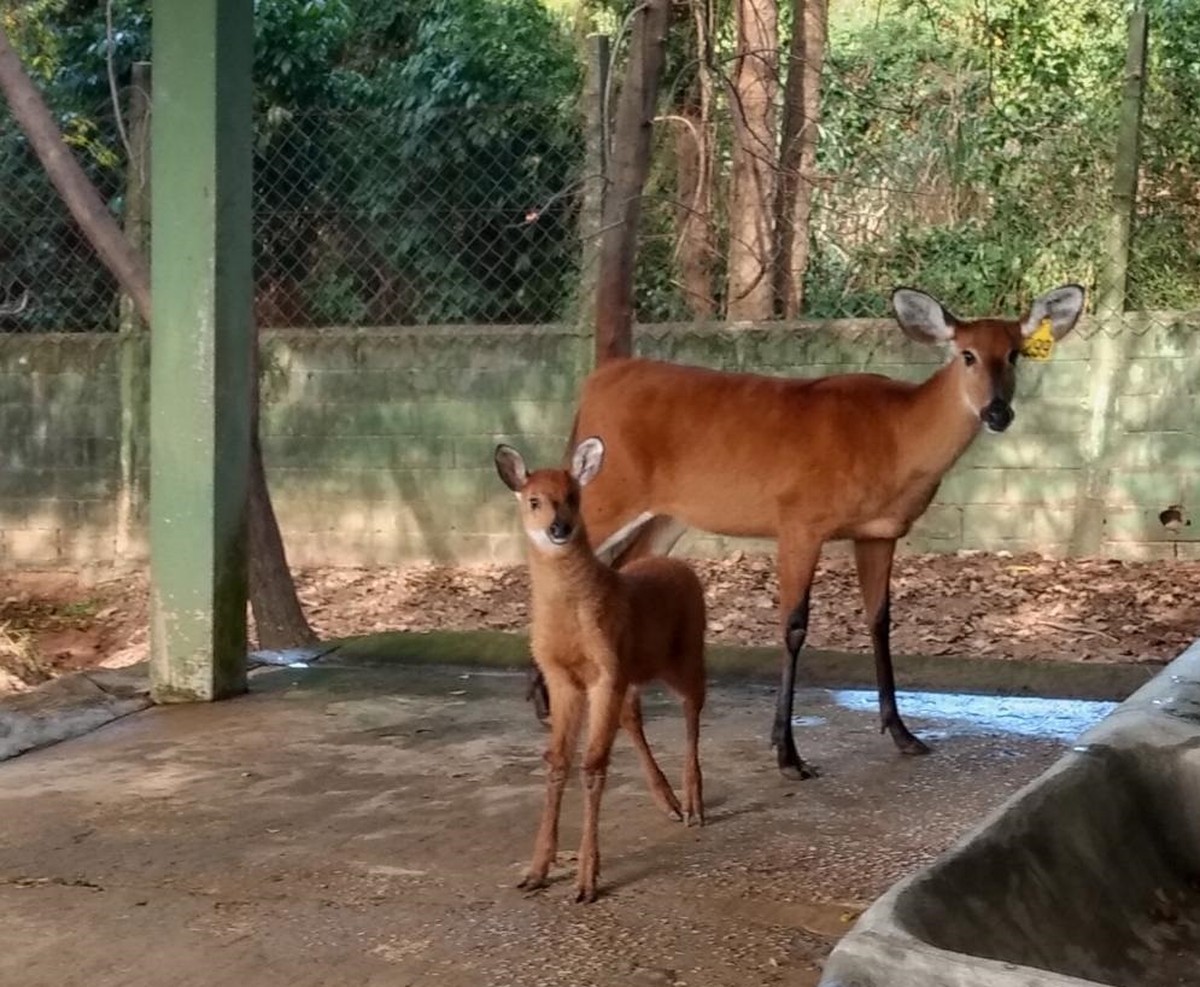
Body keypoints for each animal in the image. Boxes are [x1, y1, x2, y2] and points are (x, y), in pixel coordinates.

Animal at [495, 436, 707, 903]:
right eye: (534, 500)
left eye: (574, 497)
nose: (559, 528)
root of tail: (683, 566)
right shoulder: (563, 676)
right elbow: (558, 761)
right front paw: (535, 872)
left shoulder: (606, 669)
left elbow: (592, 765)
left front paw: (586, 881)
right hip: (635, 672)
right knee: (634, 716)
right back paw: (669, 802)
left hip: (688, 652)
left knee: (693, 711)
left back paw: (693, 804)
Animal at [526, 284, 1085, 780]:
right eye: (966, 354)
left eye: (1014, 354)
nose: (998, 412)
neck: (895, 437)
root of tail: (597, 380)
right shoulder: (800, 521)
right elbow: (794, 626)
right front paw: (788, 753)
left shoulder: (879, 532)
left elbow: (880, 621)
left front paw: (903, 734)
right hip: (604, 493)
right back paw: (548, 697)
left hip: (667, 515)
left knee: (617, 571)